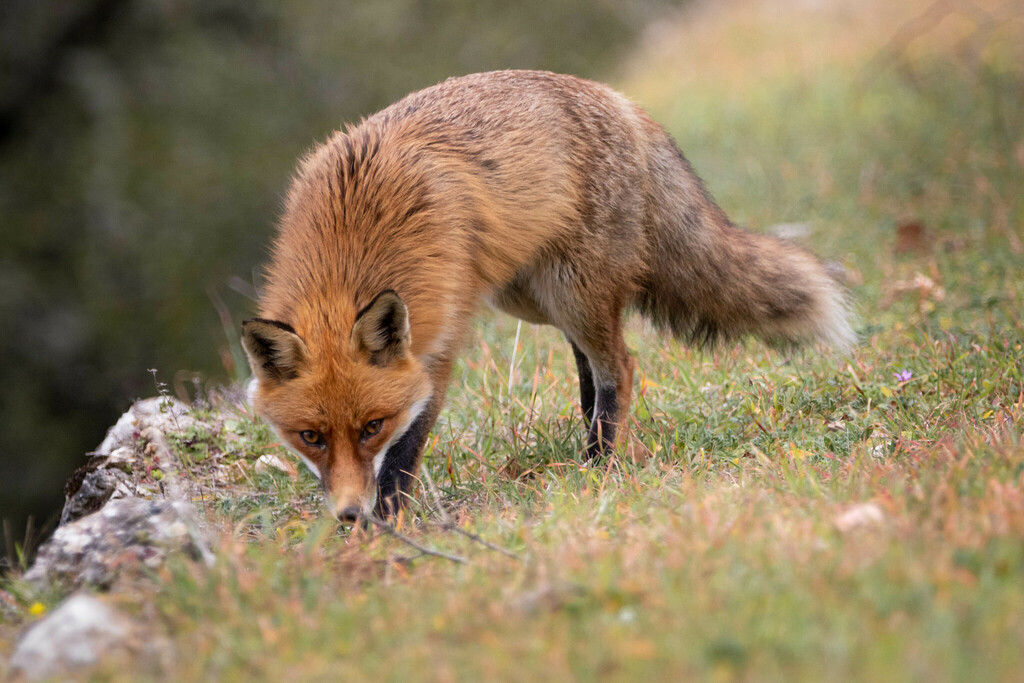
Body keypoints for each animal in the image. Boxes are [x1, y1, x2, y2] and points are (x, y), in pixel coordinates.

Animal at [241, 70, 853, 522]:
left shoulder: (437, 344)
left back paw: (599, 465)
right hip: (534, 298)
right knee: (590, 365)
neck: (352, 240)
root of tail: (624, 103)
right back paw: (597, 439)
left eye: (373, 427)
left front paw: (385, 523)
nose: (348, 513)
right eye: (310, 437)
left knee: (620, 366)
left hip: (572, 287)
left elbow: (407, 451)